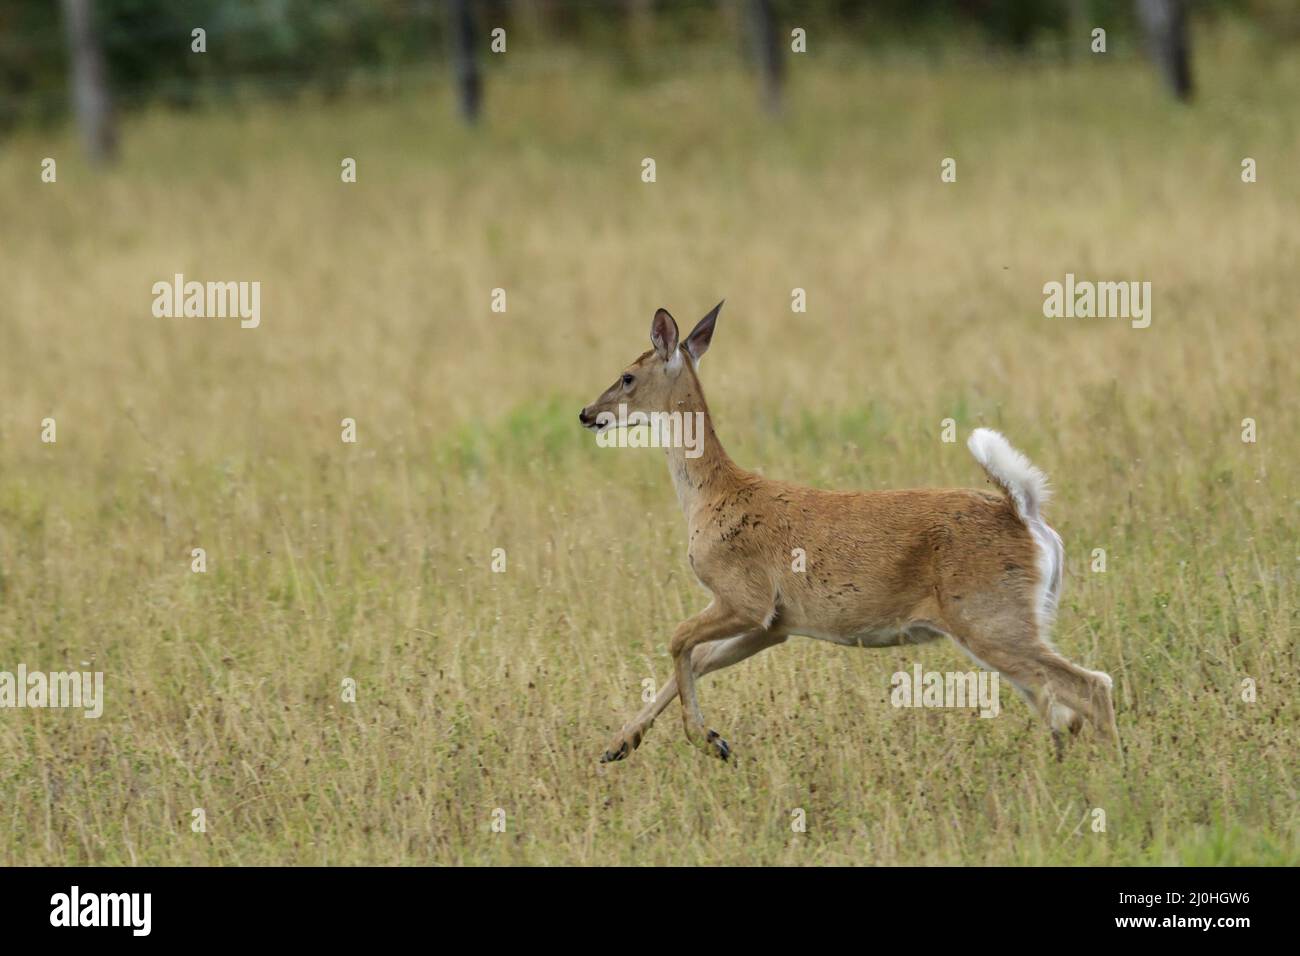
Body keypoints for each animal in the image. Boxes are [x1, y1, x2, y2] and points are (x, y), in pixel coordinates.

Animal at [579, 302, 1120, 763]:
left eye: (627, 376)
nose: (587, 413)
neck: (711, 495)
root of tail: (1026, 515)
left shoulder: (745, 597)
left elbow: (678, 641)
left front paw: (708, 740)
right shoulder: (774, 625)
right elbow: (700, 660)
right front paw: (619, 744)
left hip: (990, 618)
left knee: (1089, 686)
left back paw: (1115, 777)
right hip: (1007, 621)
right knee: (1060, 707)